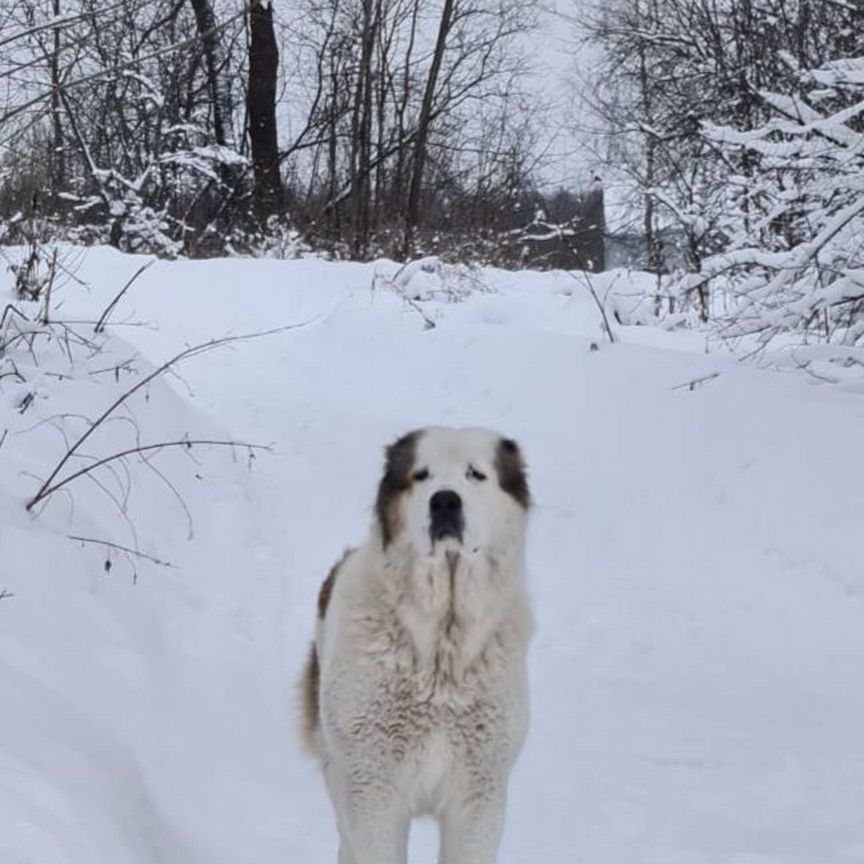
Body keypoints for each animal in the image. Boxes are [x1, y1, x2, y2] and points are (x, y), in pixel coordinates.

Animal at [302, 426, 532, 864]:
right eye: (421, 475)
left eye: (476, 474)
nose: (444, 500)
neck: (442, 640)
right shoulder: (373, 788)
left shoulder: (479, 794)